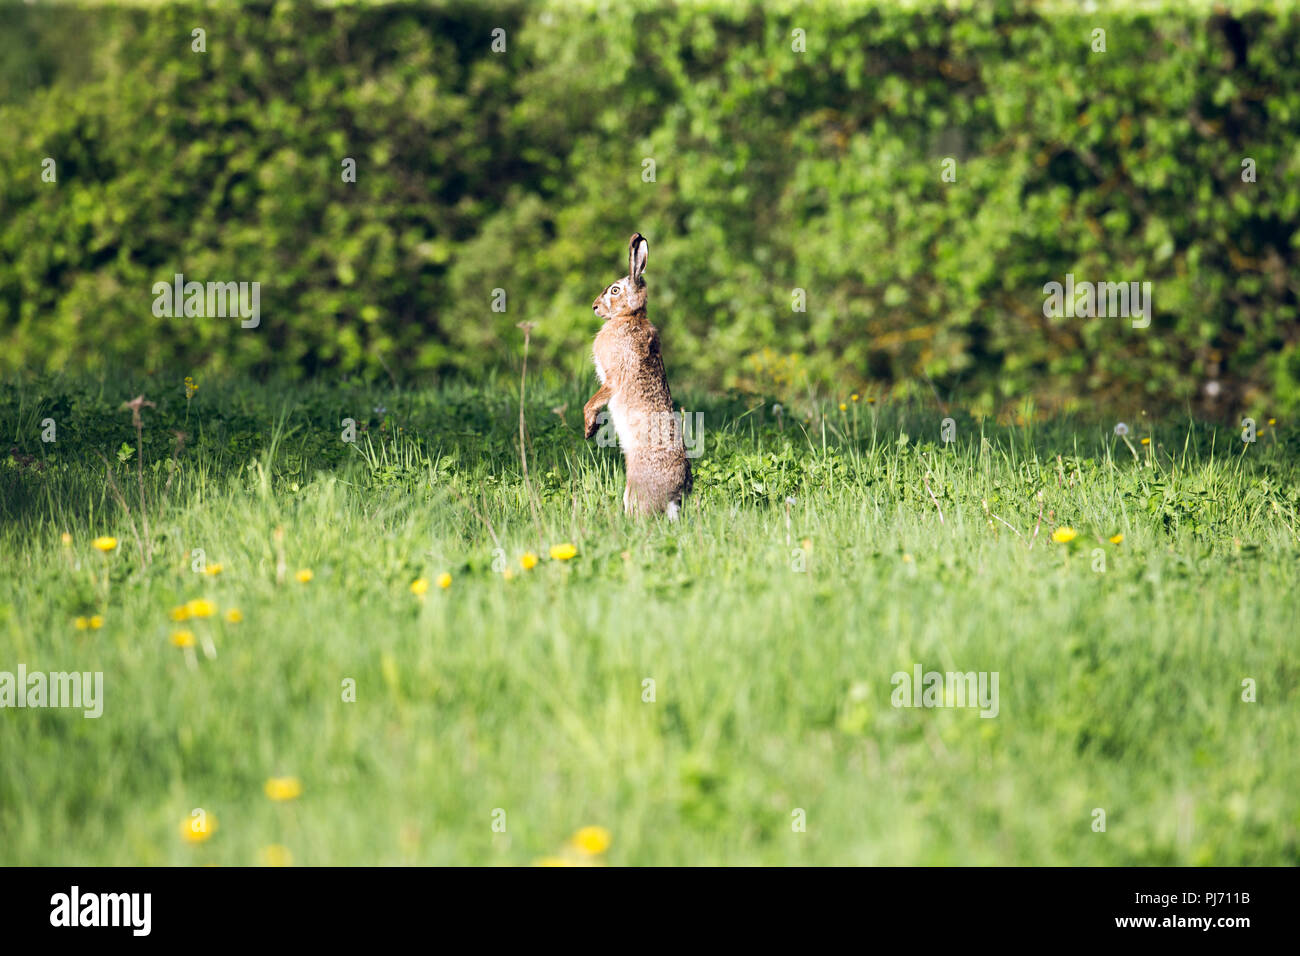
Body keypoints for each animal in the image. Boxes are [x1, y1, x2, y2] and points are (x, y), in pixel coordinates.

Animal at [583, 233, 692, 519]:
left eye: (615, 290)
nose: (594, 307)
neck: (629, 316)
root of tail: (674, 496)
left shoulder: (612, 377)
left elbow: (596, 399)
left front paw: (588, 427)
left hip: (635, 487)